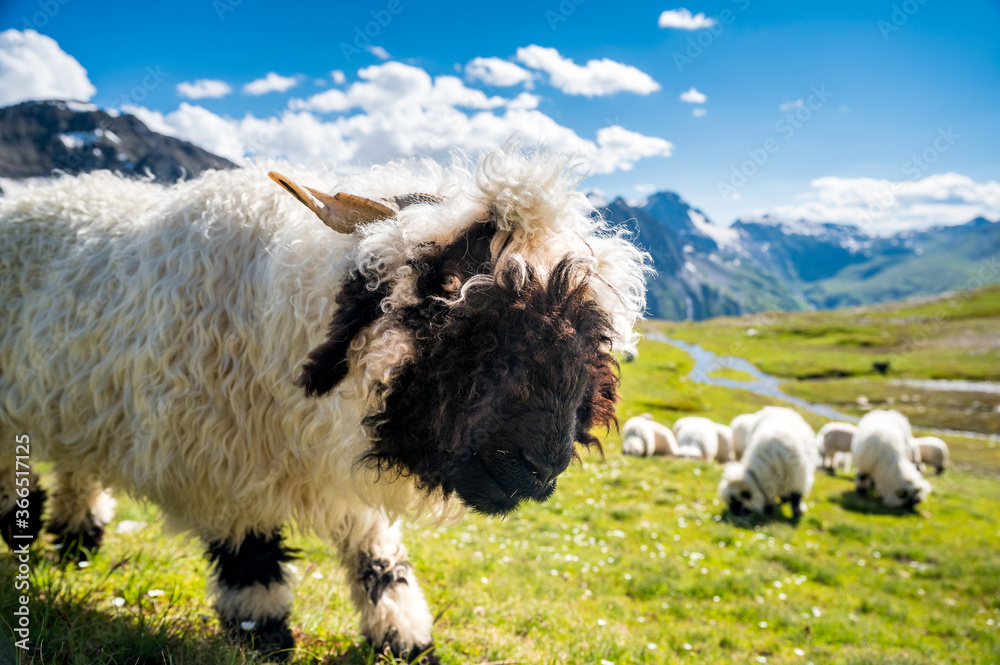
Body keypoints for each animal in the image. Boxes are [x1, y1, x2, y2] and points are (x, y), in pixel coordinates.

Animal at [0, 143, 648, 661]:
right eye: (442, 287)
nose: (543, 467)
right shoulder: (221, 465)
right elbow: (252, 558)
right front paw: (264, 635)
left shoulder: (344, 461)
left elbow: (379, 559)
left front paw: (405, 637)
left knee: (78, 461)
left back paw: (77, 541)